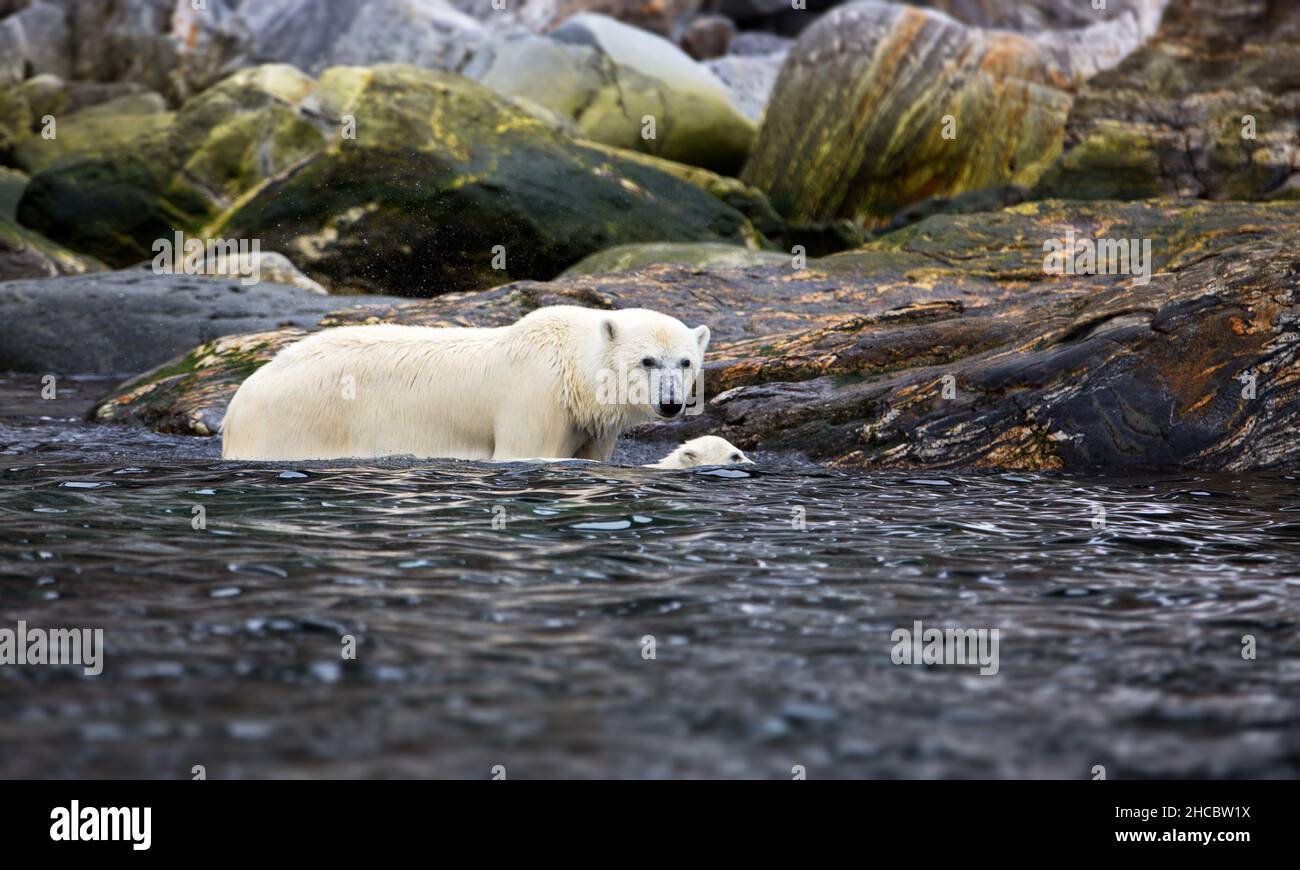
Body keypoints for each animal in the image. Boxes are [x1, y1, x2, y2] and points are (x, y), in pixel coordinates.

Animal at [220, 305, 711, 461]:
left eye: (686, 361)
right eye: (647, 361)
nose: (671, 404)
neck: (570, 366)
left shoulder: (587, 420)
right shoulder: (533, 398)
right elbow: (523, 450)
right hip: (294, 421)